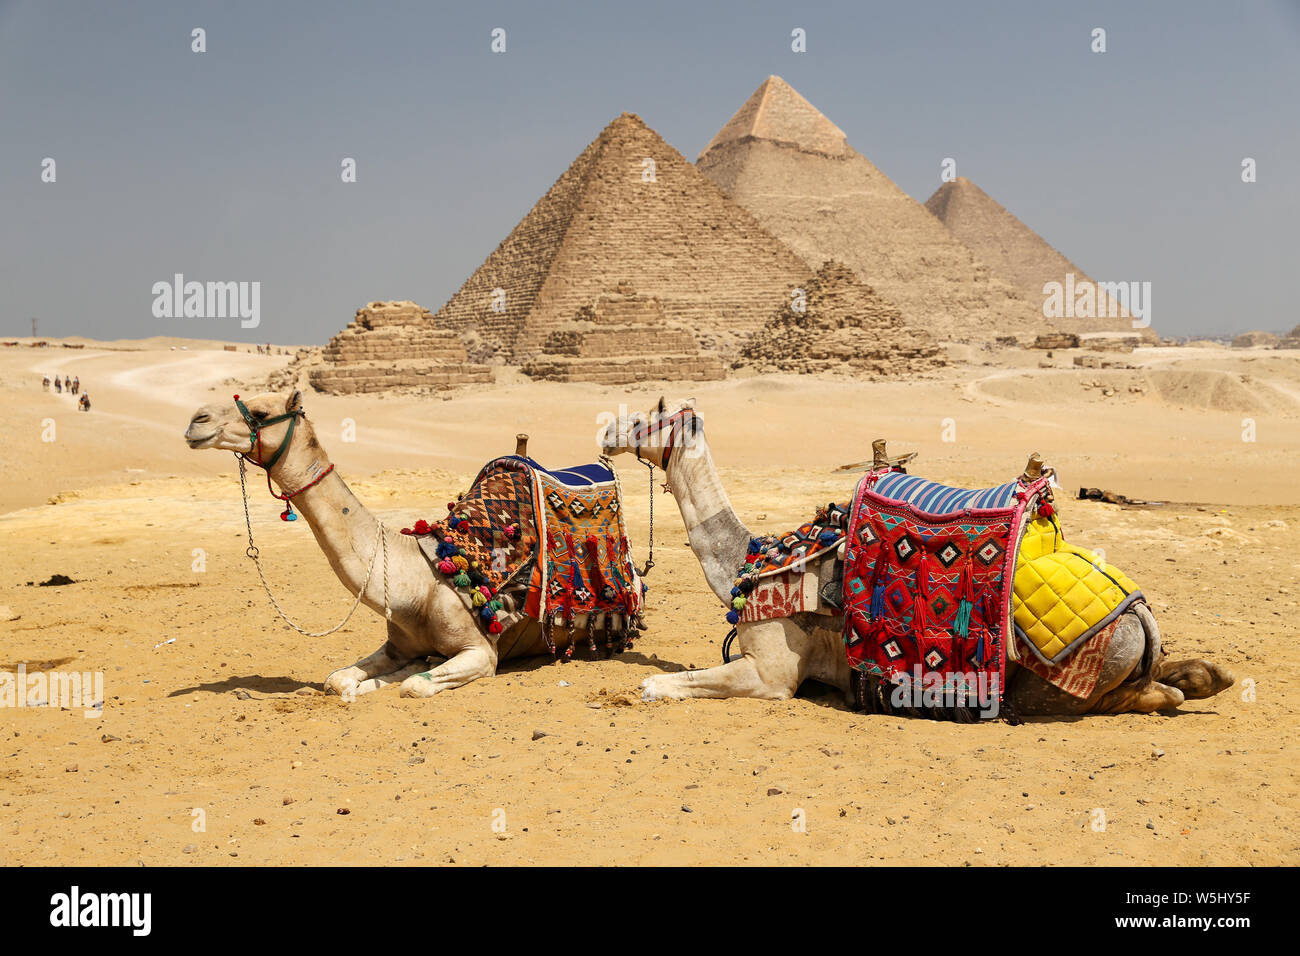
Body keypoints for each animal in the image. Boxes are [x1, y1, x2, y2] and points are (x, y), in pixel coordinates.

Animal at [184, 389, 633, 700]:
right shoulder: (397, 645)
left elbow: (414, 685)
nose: (196, 420)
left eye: (261, 412)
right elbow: (338, 680)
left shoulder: (481, 653)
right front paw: (362, 685)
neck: (416, 584)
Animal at [601, 398, 1234, 717]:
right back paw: (1212, 675)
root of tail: (1139, 613)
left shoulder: (774, 674)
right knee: (1183, 676)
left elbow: (658, 685)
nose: (606, 431)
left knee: (1149, 696)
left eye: (648, 418)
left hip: (1064, 681)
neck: (752, 562)